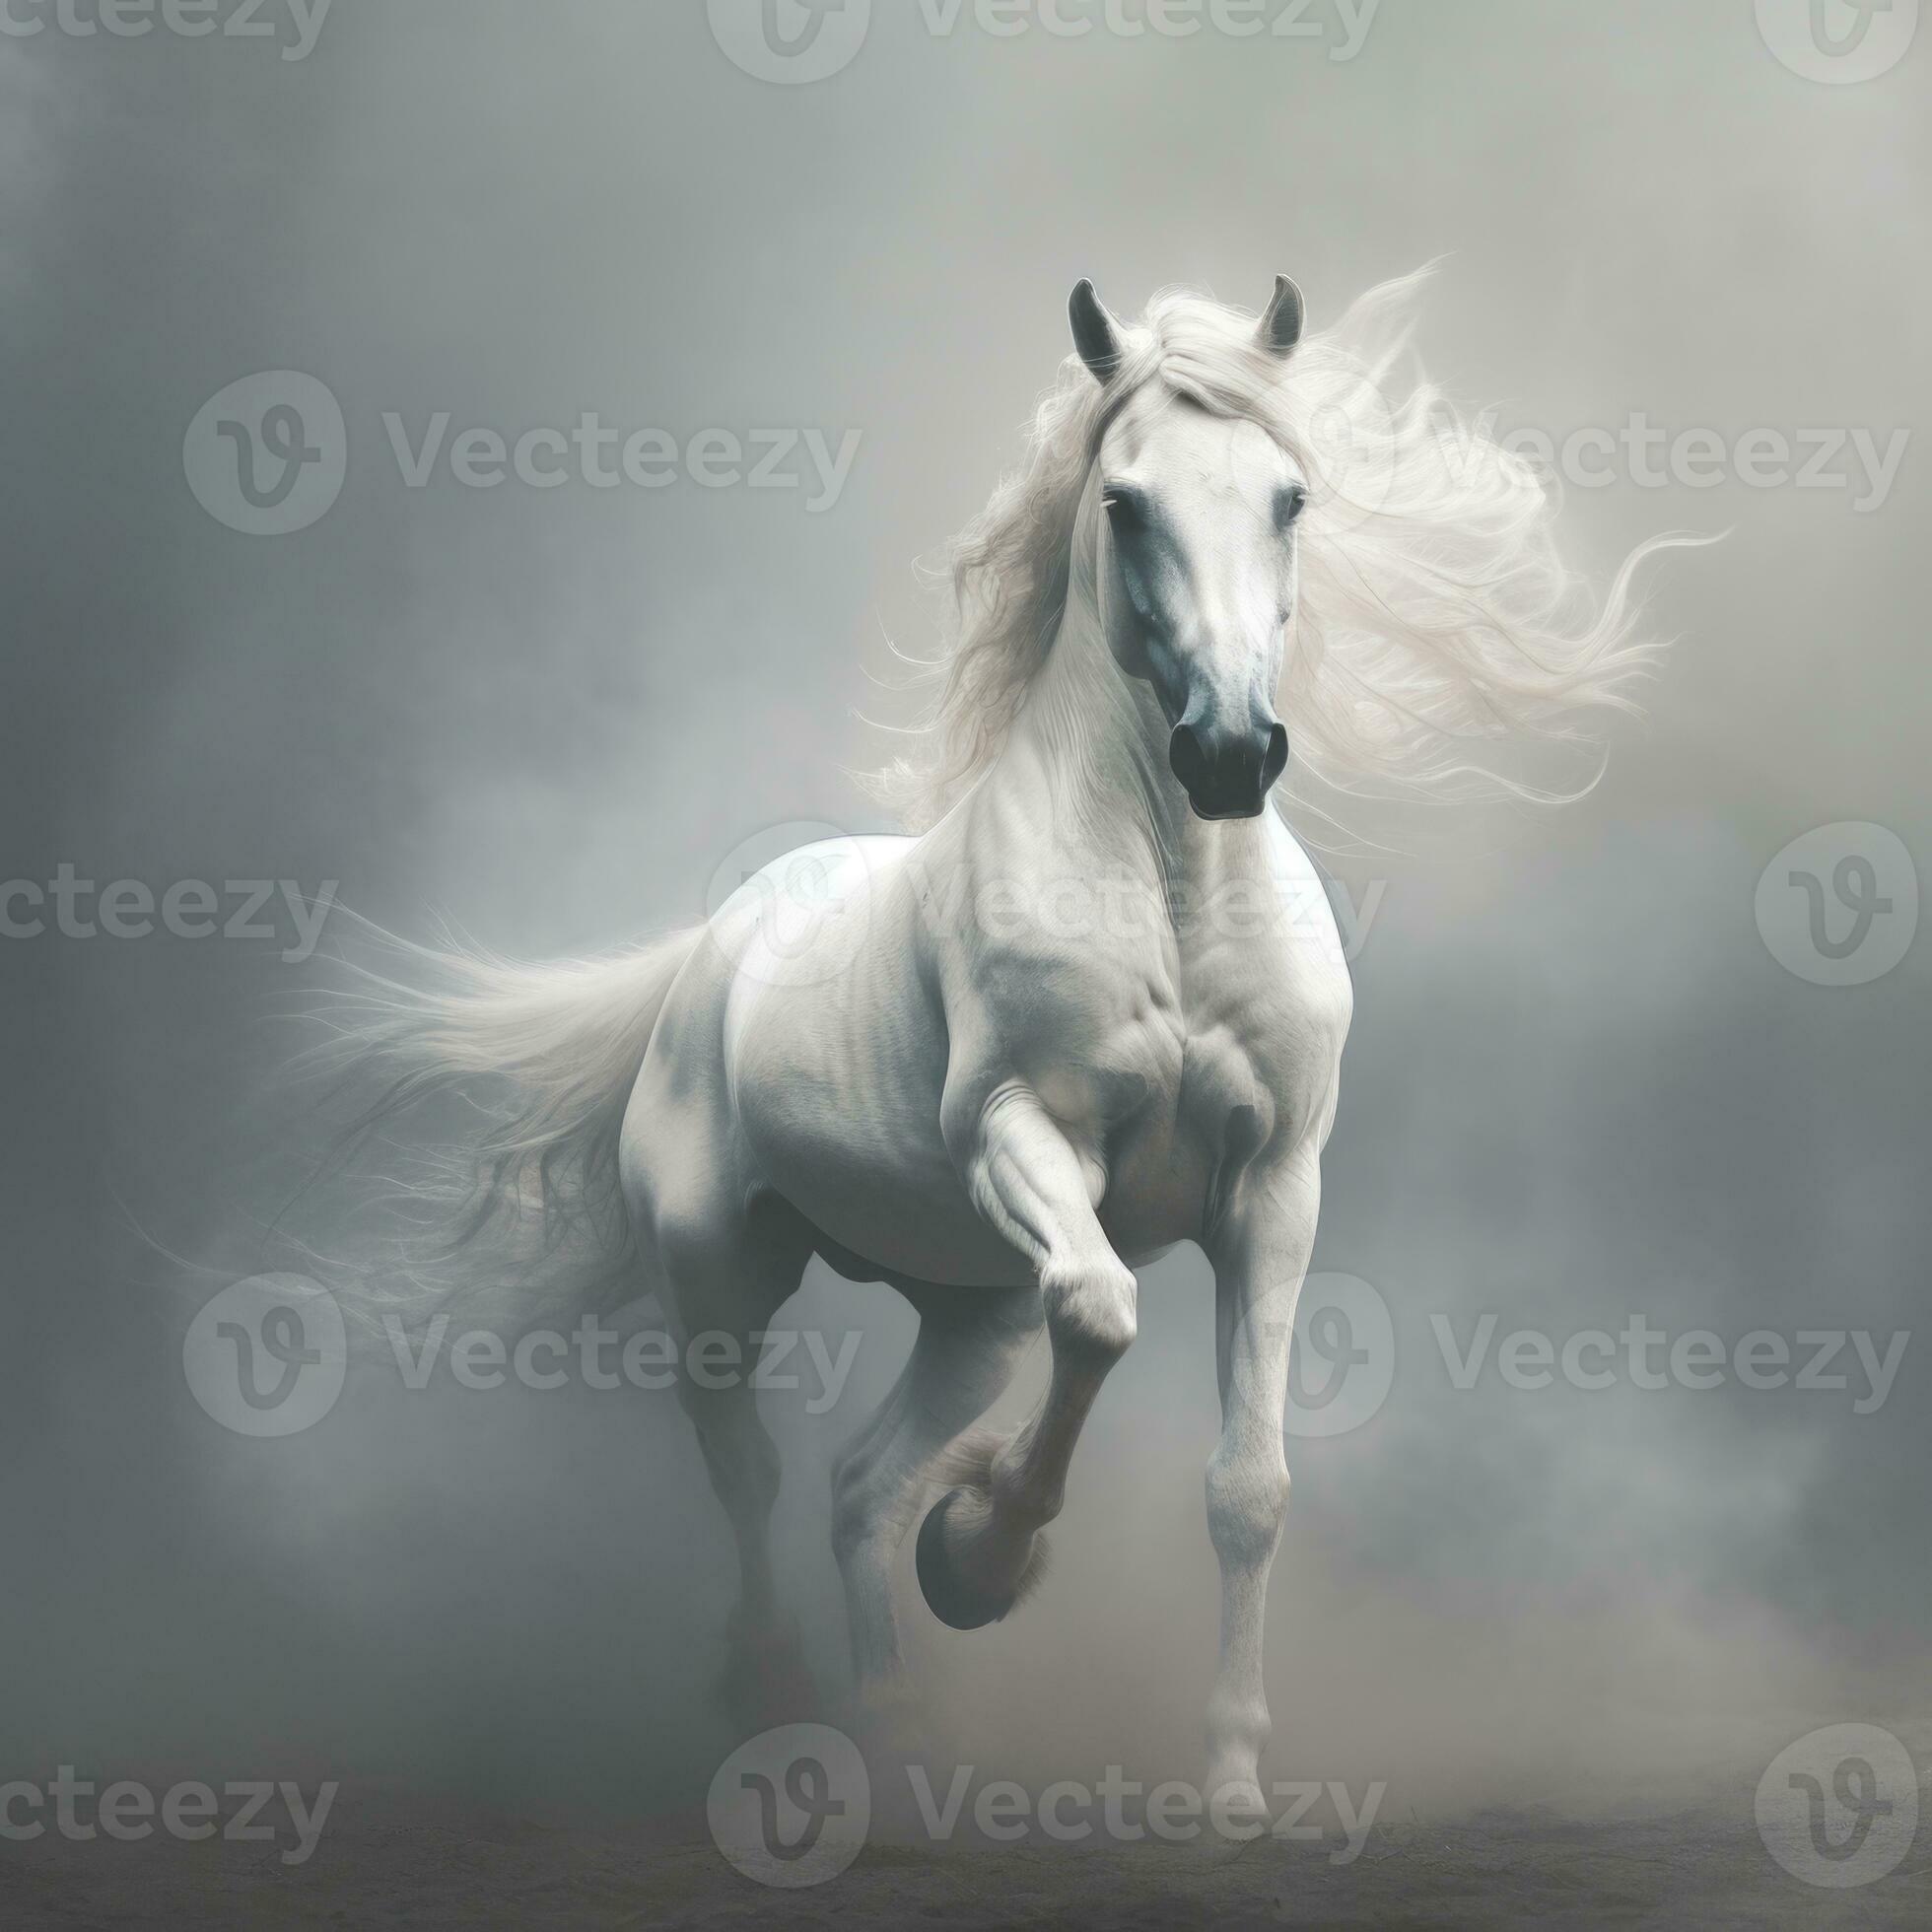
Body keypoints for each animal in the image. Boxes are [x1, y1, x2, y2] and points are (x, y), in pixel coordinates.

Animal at [333, 268, 1684, 1838]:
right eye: (1125, 503)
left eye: (1287, 496)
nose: (1231, 752)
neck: (1165, 880)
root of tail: (710, 950)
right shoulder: (1019, 1138)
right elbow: (1099, 1313)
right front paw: (982, 1555)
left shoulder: (1275, 1192)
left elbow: (1248, 1487)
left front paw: (1231, 1780)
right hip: (720, 1273)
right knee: (752, 1471)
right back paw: (784, 1701)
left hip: (968, 1313)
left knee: (859, 1484)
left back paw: (903, 1733)